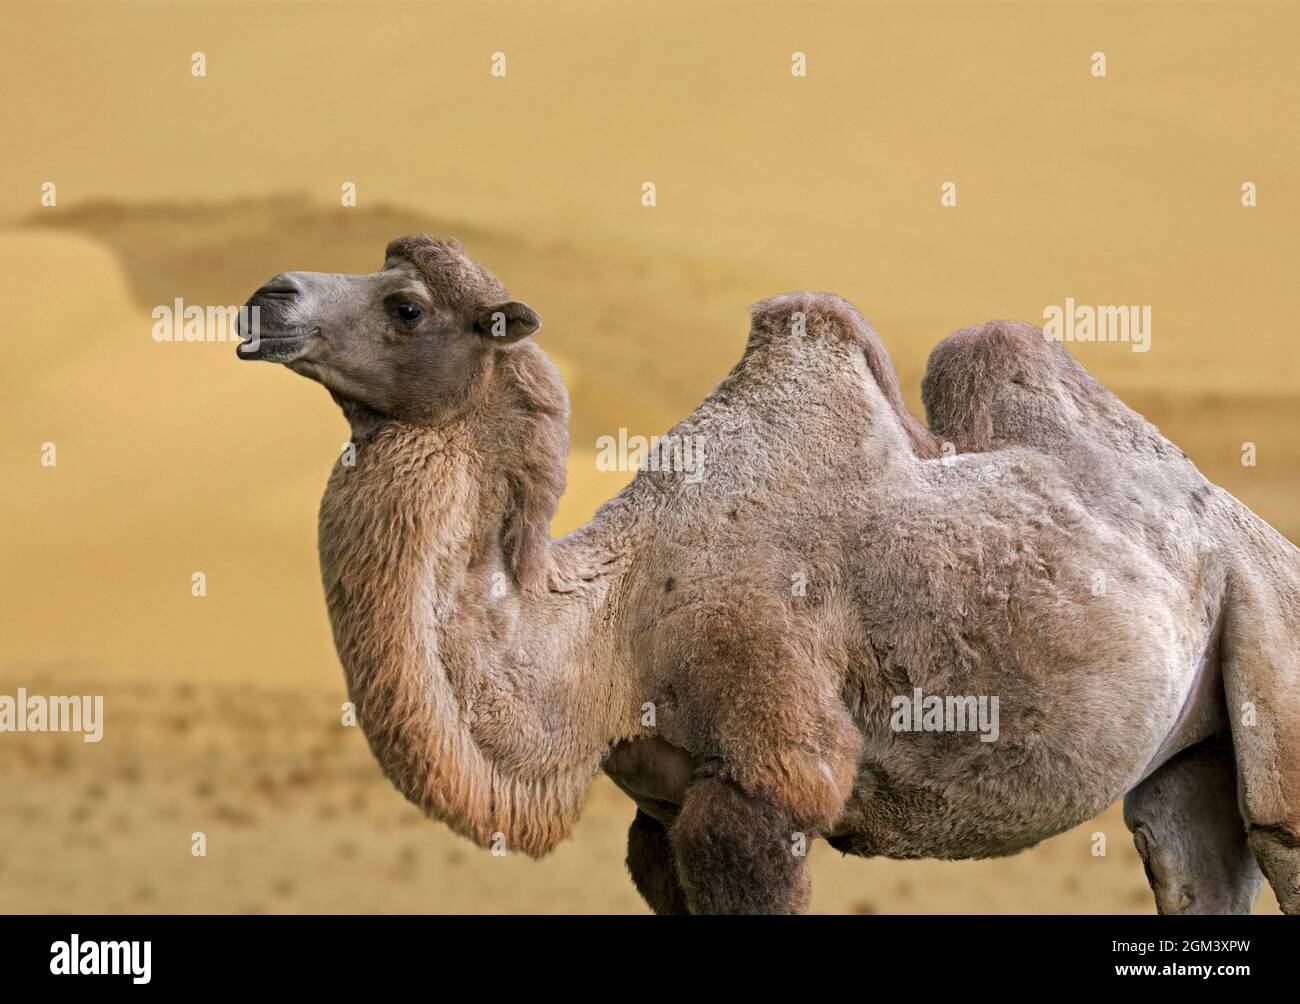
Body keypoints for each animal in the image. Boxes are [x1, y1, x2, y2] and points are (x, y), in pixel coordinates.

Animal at [237, 235, 1300, 914]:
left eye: (407, 306)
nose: (266, 299)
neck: (612, 630)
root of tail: (1267, 541)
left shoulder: (768, 783)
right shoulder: (659, 819)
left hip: (1272, 652)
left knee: (1279, 827)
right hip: (1192, 750)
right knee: (1191, 852)